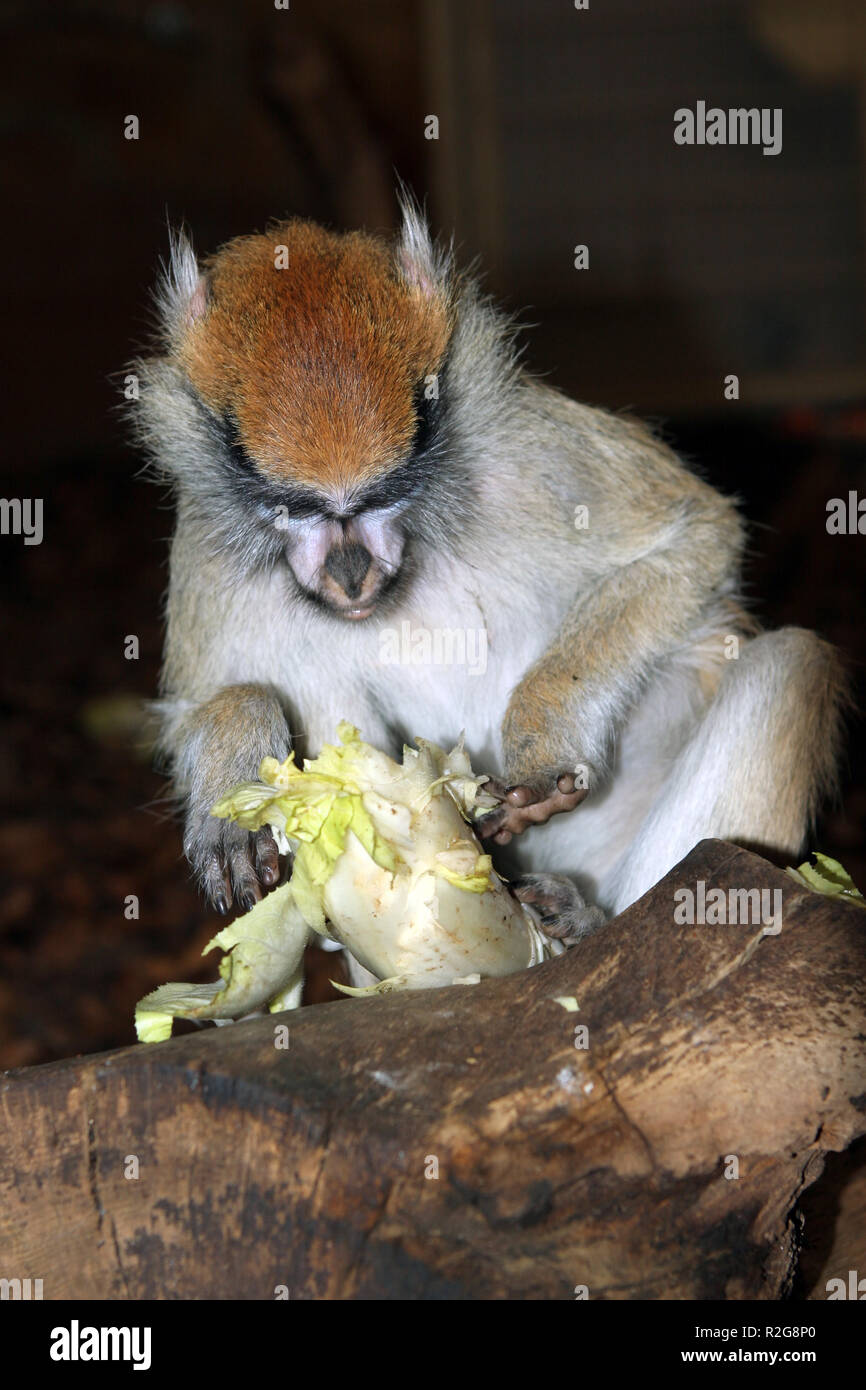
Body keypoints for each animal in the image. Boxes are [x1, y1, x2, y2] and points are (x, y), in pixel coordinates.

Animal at [131, 197, 847, 963]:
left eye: (389, 494)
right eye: (292, 508)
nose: (350, 573)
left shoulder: (525, 453)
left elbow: (696, 541)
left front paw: (541, 745)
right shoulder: (205, 536)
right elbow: (211, 700)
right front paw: (232, 757)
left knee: (789, 663)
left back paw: (590, 920)